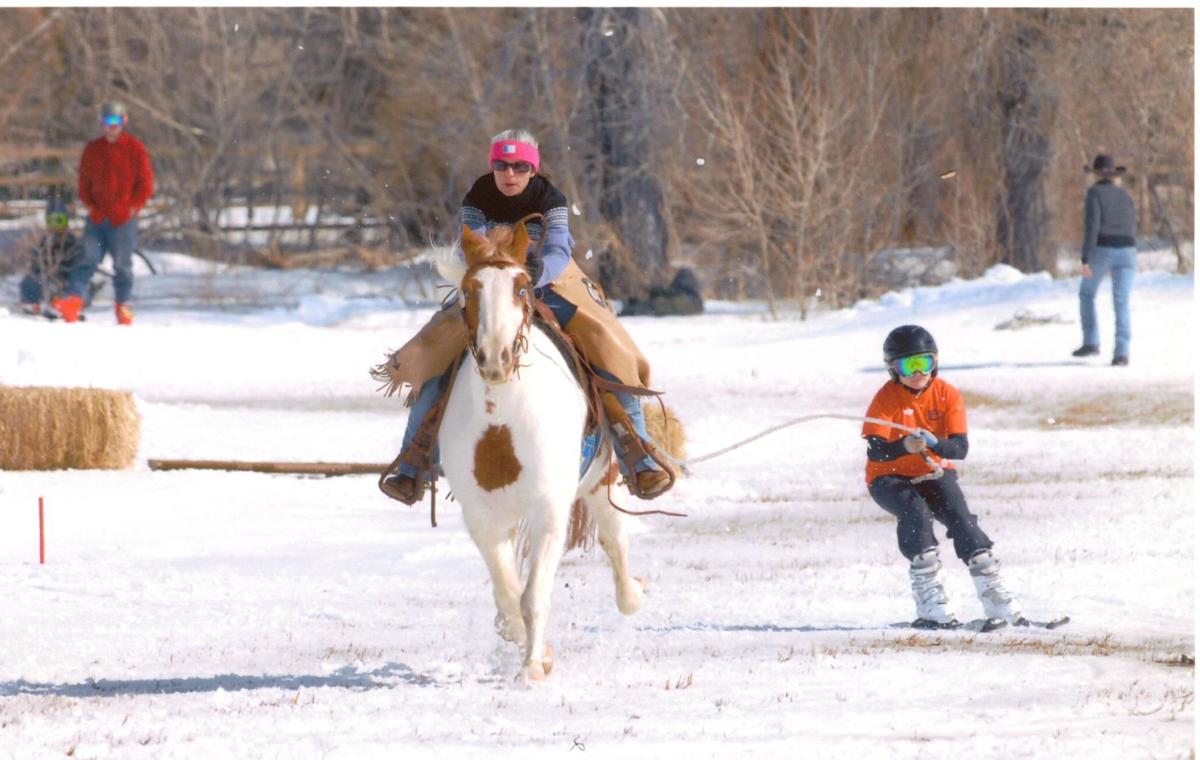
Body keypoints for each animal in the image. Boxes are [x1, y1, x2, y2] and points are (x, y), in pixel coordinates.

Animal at [436, 221, 645, 683]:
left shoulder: (549, 509)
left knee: (615, 539)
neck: (502, 422)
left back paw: (632, 595)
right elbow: (508, 592)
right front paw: (530, 647)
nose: (495, 357)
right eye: (469, 290)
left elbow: (532, 597)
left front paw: (532, 666)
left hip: (603, 479)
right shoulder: (482, 516)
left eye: (521, 288)